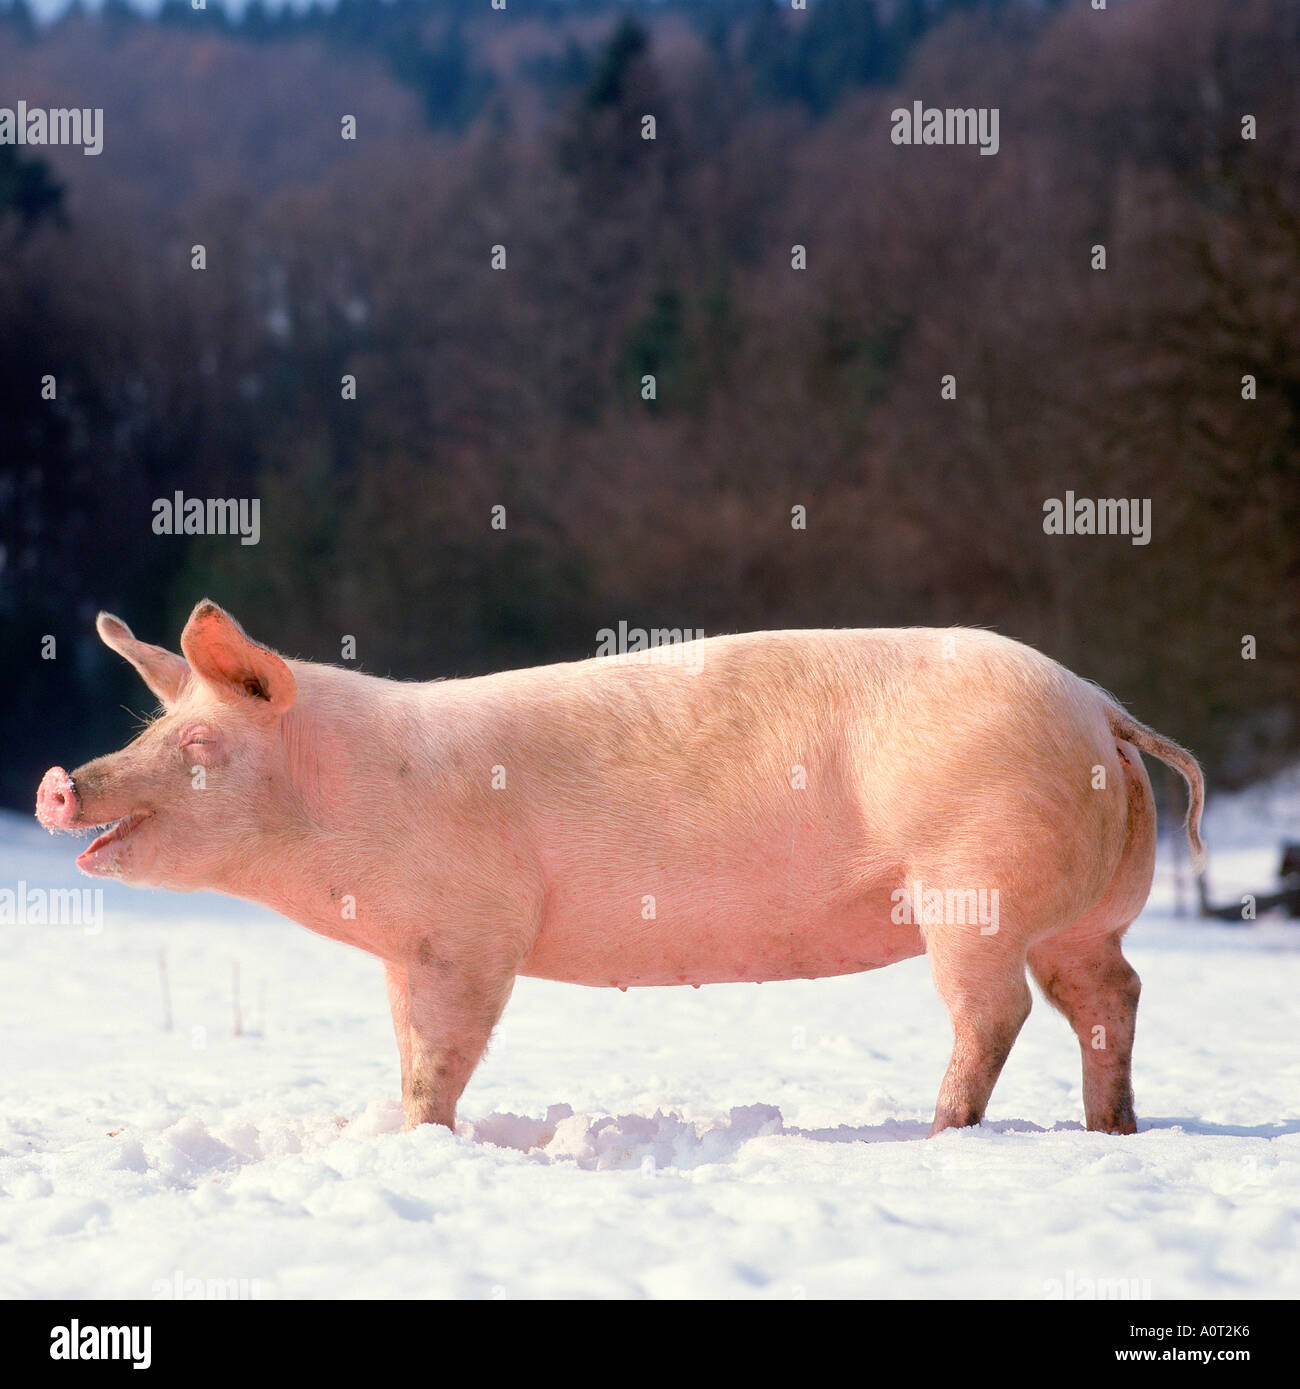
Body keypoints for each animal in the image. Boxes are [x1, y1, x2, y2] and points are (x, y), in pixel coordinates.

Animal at [36, 601, 1206, 1137]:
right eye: (150, 726)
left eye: (200, 744)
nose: (57, 783)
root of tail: (1104, 712)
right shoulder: (406, 947)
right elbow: (409, 1049)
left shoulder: (470, 932)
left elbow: (440, 1056)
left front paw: (425, 1139)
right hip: (1083, 912)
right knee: (1113, 990)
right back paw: (1112, 1130)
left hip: (972, 888)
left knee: (996, 1011)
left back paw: (934, 1135)